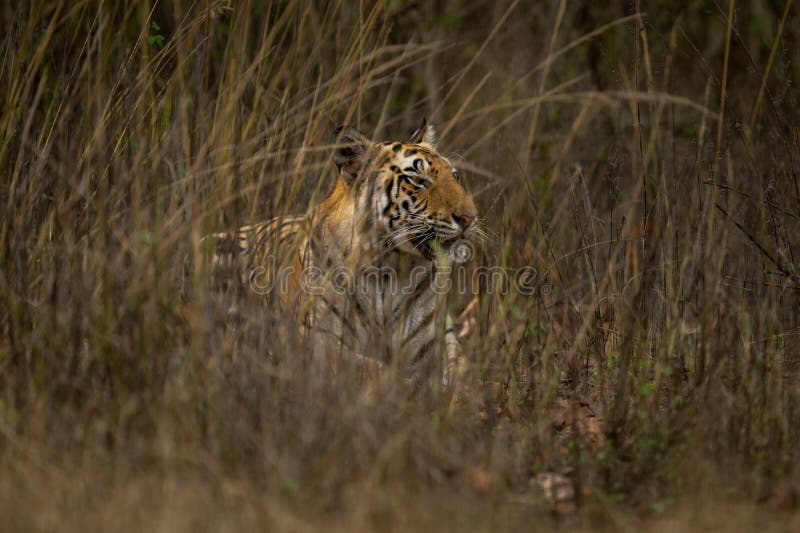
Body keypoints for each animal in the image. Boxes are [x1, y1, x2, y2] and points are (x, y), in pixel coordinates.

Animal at [202, 119, 479, 384]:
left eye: (455, 176)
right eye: (419, 181)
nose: (469, 218)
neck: (391, 269)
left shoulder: (437, 346)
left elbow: (461, 378)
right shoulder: (321, 344)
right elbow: (376, 371)